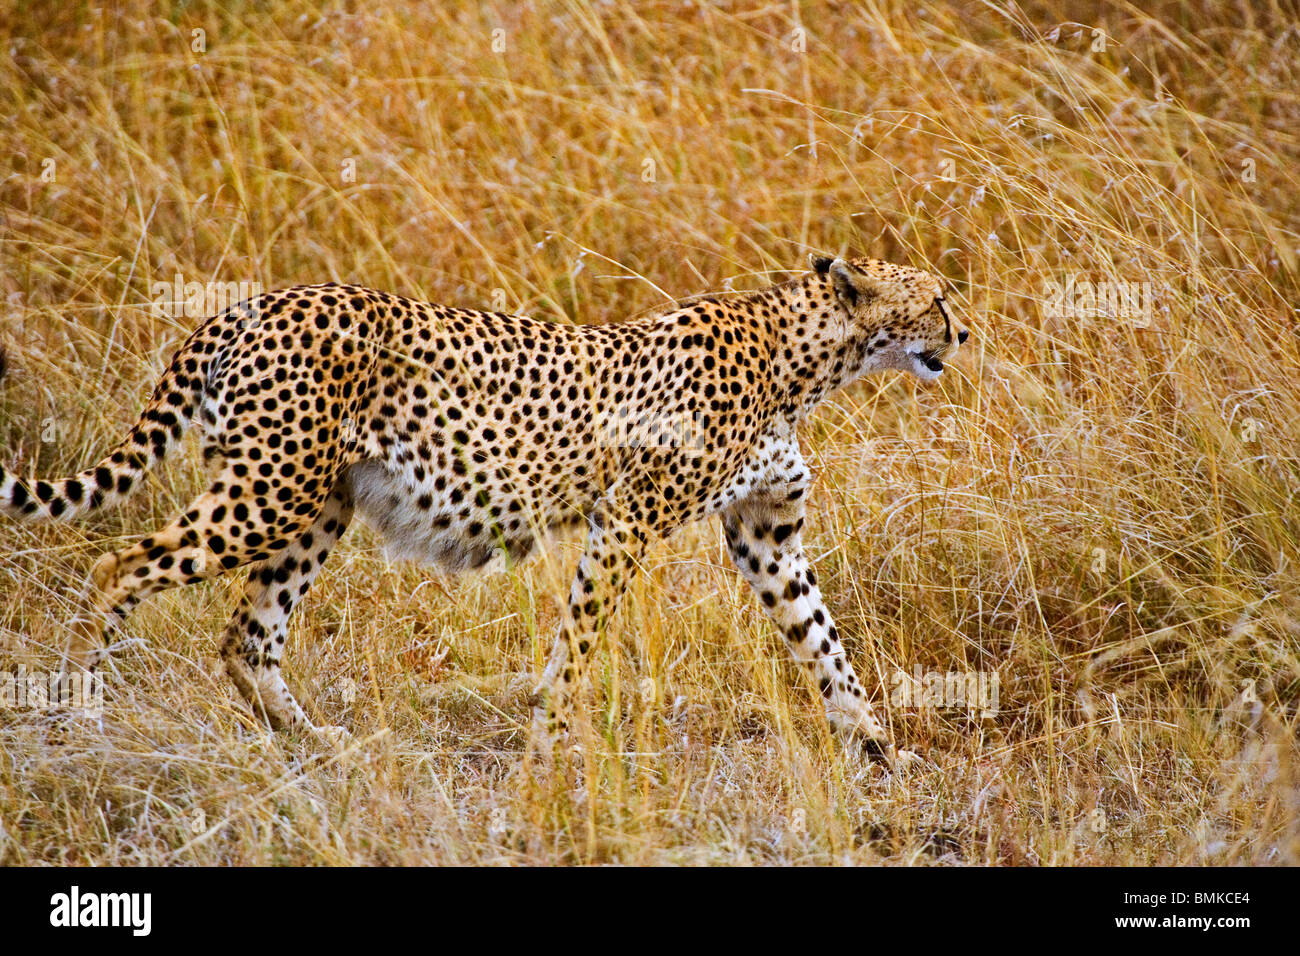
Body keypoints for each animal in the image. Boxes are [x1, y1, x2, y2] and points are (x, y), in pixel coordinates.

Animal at [0, 253, 967, 762]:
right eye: (935, 299)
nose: (963, 331)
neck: (807, 361)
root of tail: (252, 302)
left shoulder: (767, 536)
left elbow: (825, 645)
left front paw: (879, 744)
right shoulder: (627, 521)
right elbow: (578, 644)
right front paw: (554, 743)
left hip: (316, 504)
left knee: (246, 633)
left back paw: (318, 742)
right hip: (270, 491)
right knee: (118, 563)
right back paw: (80, 709)